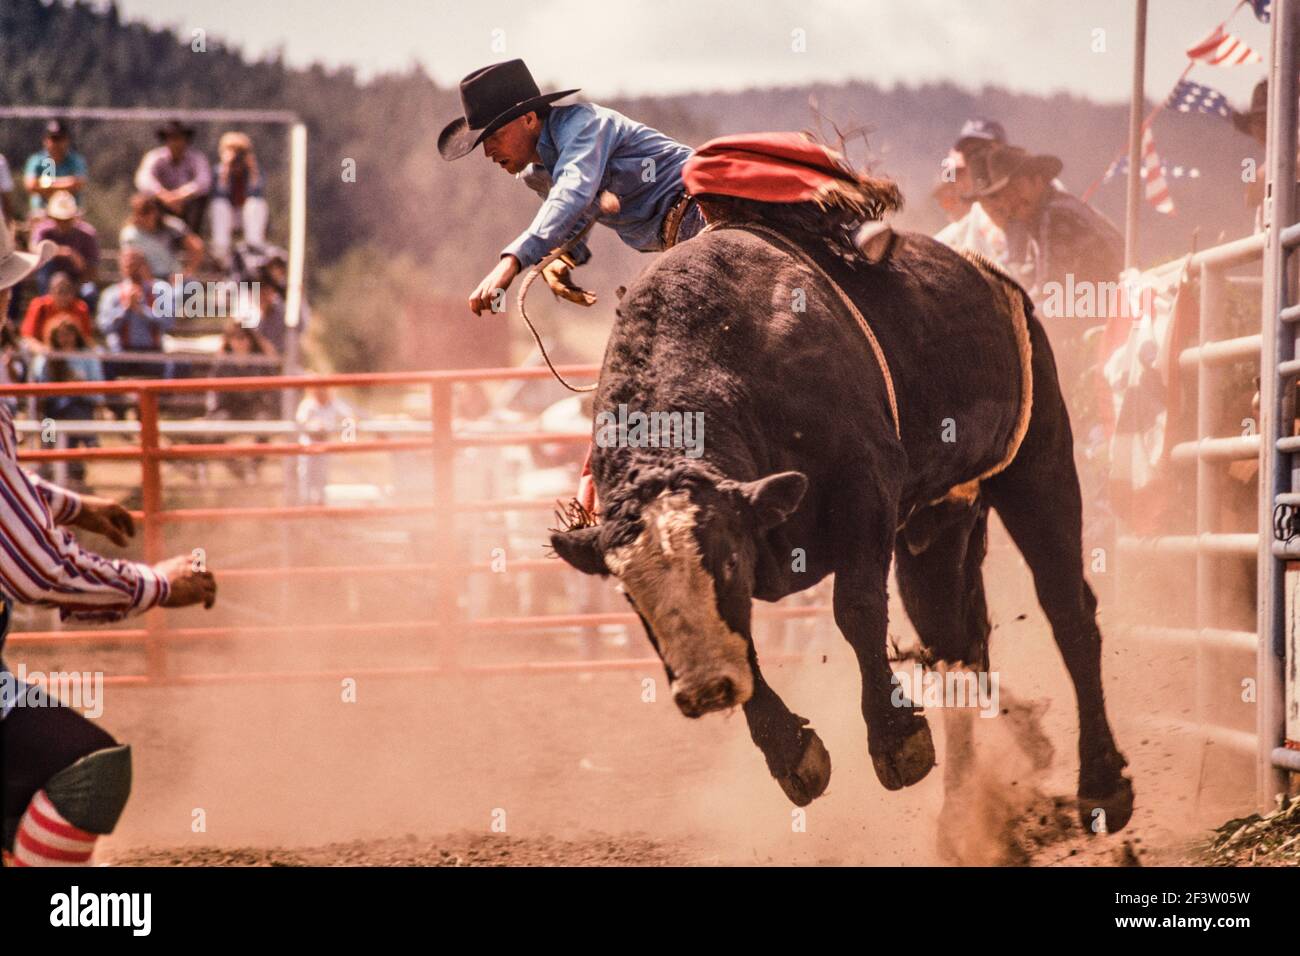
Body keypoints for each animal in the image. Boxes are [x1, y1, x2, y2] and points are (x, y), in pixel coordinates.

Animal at [550, 213, 1134, 834]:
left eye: (728, 559)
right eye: (629, 594)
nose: (706, 689)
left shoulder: (865, 488)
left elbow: (855, 609)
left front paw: (897, 739)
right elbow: (746, 647)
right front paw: (791, 754)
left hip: (1038, 458)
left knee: (1068, 610)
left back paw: (1101, 784)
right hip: (936, 528)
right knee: (956, 639)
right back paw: (970, 806)